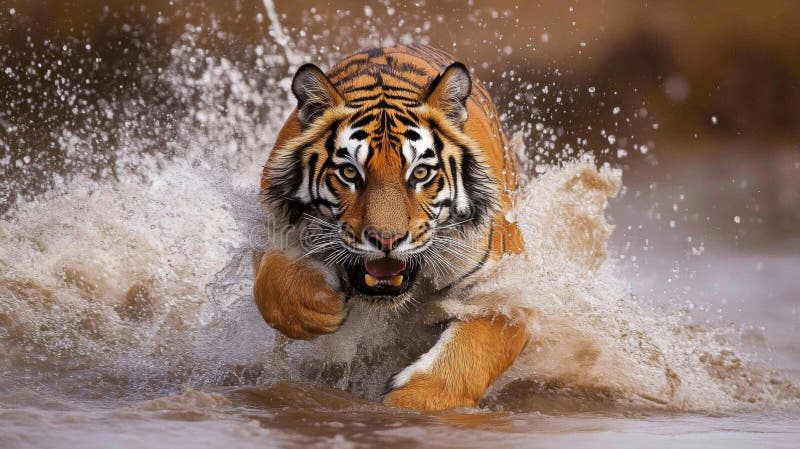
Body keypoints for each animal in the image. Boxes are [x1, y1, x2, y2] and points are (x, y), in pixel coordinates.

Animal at [254, 44, 529, 411]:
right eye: (350, 172)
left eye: (420, 173)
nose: (387, 240)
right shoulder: (275, 229)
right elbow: (271, 282)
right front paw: (319, 306)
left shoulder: (506, 293)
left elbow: (476, 349)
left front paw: (410, 403)